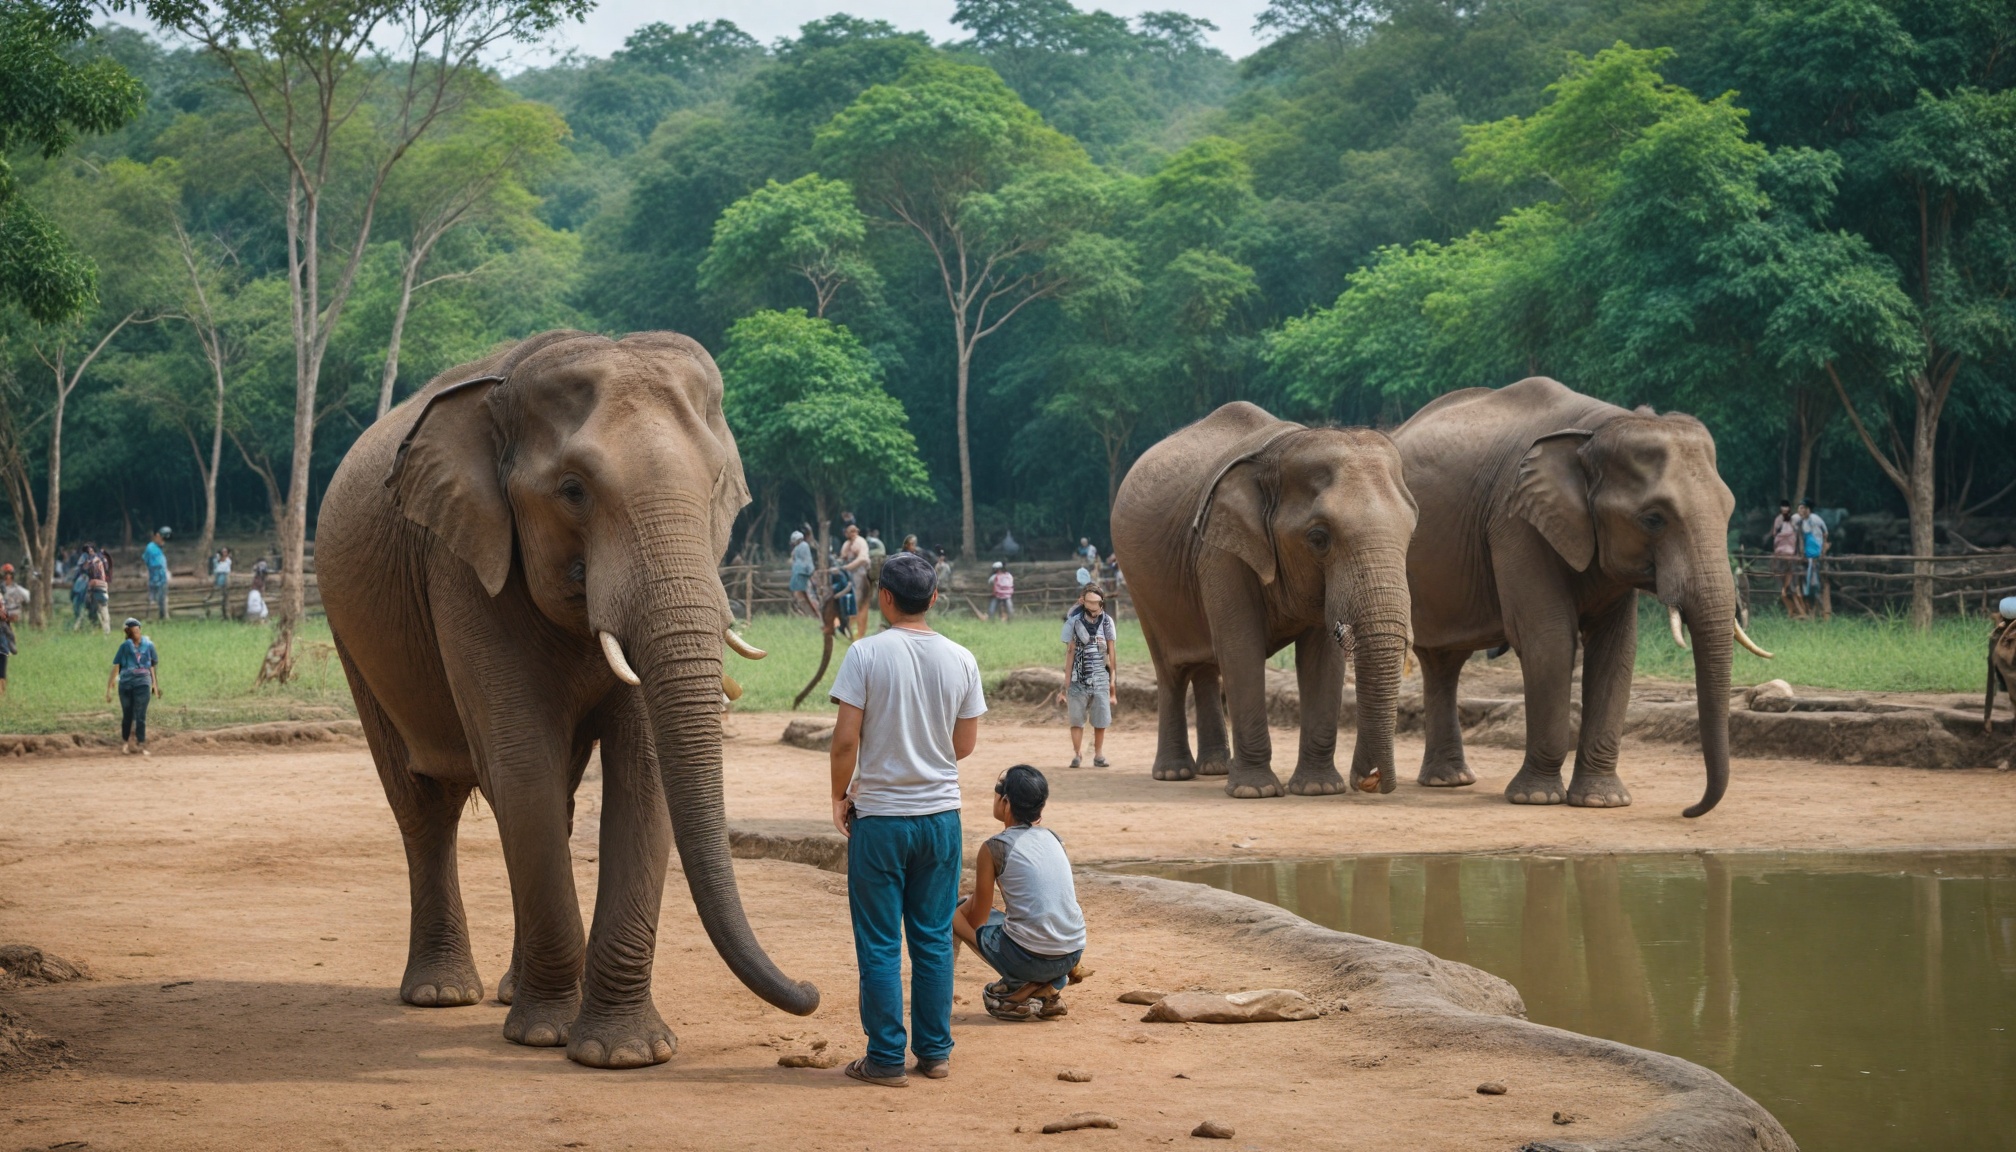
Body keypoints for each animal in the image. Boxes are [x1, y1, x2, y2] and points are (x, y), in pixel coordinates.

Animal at [316, 332, 818, 1073]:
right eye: (573, 492)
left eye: (716, 487)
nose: (811, 991)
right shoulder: (463, 565)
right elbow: (523, 760)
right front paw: (550, 1038)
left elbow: (640, 774)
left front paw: (627, 1054)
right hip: (353, 637)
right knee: (426, 803)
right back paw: (443, 995)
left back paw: (505, 992)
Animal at [1104, 405, 1419, 802]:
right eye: (1319, 538)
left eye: (1411, 534)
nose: (1369, 779)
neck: (1283, 451)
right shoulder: (1219, 550)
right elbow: (1242, 646)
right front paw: (1256, 792)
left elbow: (1321, 659)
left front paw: (1318, 789)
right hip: (1139, 584)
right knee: (1171, 669)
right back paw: (1174, 773)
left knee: (1208, 665)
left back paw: (1215, 769)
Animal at [1395, 379, 1774, 819]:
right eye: (1653, 519)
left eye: (1729, 511)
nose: (1687, 810)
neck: (1595, 430)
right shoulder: (1514, 522)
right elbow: (1551, 641)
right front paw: (1536, 798)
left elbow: (1616, 648)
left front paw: (1601, 802)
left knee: (1443, 661)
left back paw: (1450, 780)